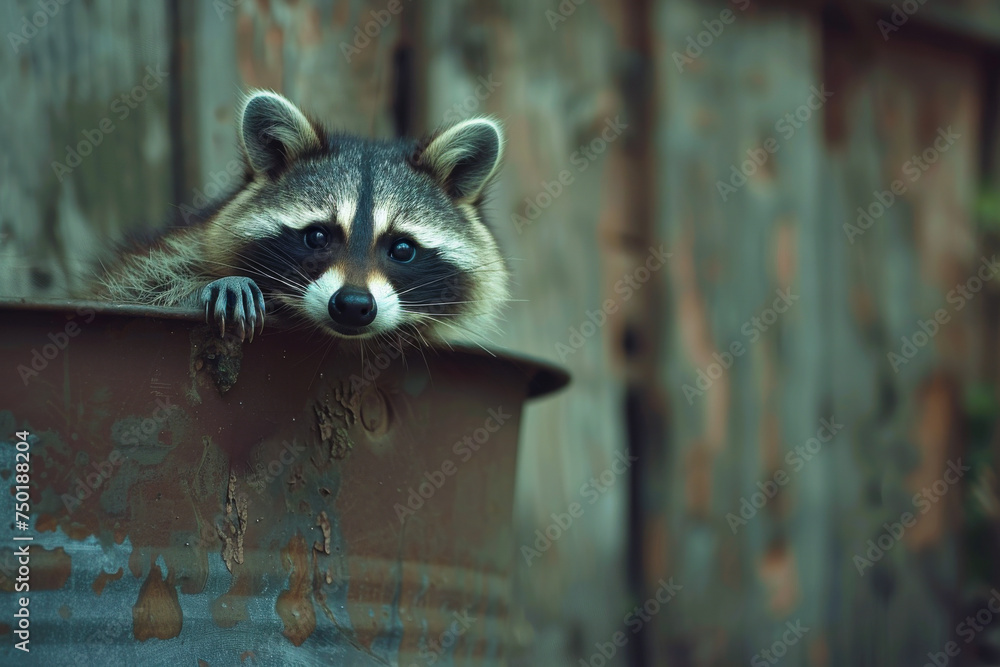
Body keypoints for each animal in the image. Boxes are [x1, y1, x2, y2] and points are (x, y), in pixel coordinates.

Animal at [89, 91, 510, 347]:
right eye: (317, 237)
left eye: (403, 249)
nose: (352, 305)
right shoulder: (174, 252)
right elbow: (136, 287)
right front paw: (217, 286)